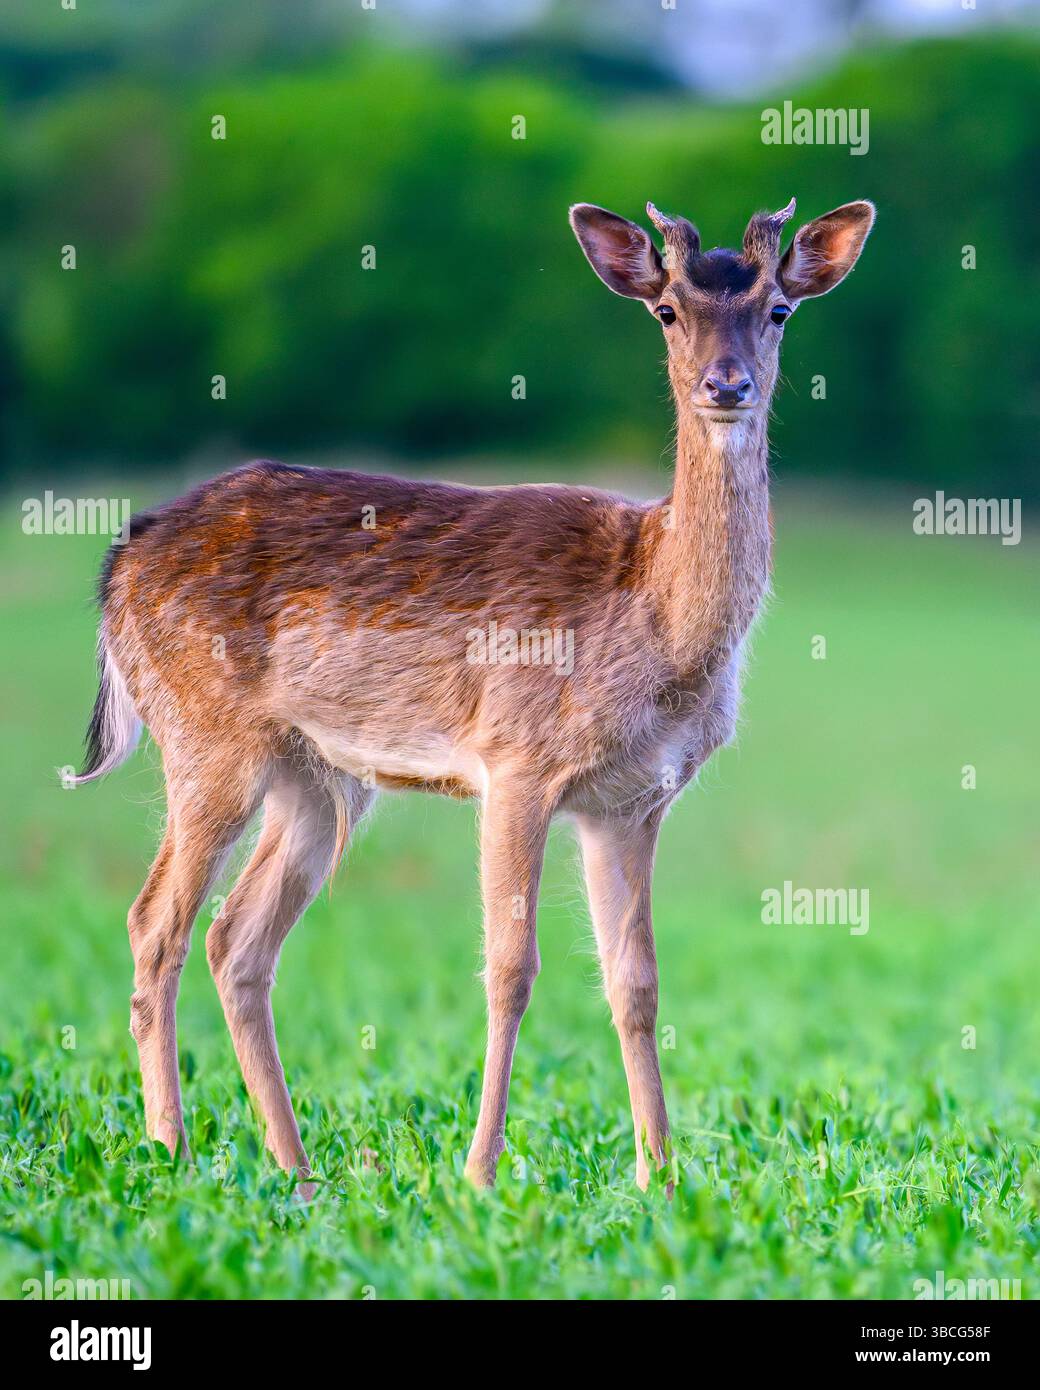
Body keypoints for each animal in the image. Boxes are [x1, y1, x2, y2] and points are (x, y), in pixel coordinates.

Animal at [71, 196, 874, 1197]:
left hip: (318, 777)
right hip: (205, 735)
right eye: (667, 311)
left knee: (238, 940)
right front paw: (481, 1171)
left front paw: (660, 1175)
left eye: (779, 310)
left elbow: (636, 981)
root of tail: (118, 563)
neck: (655, 613)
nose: (726, 385)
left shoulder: (630, 801)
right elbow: (511, 968)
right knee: (154, 923)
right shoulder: (517, 758)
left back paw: (297, 1170)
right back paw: (169, 1151)